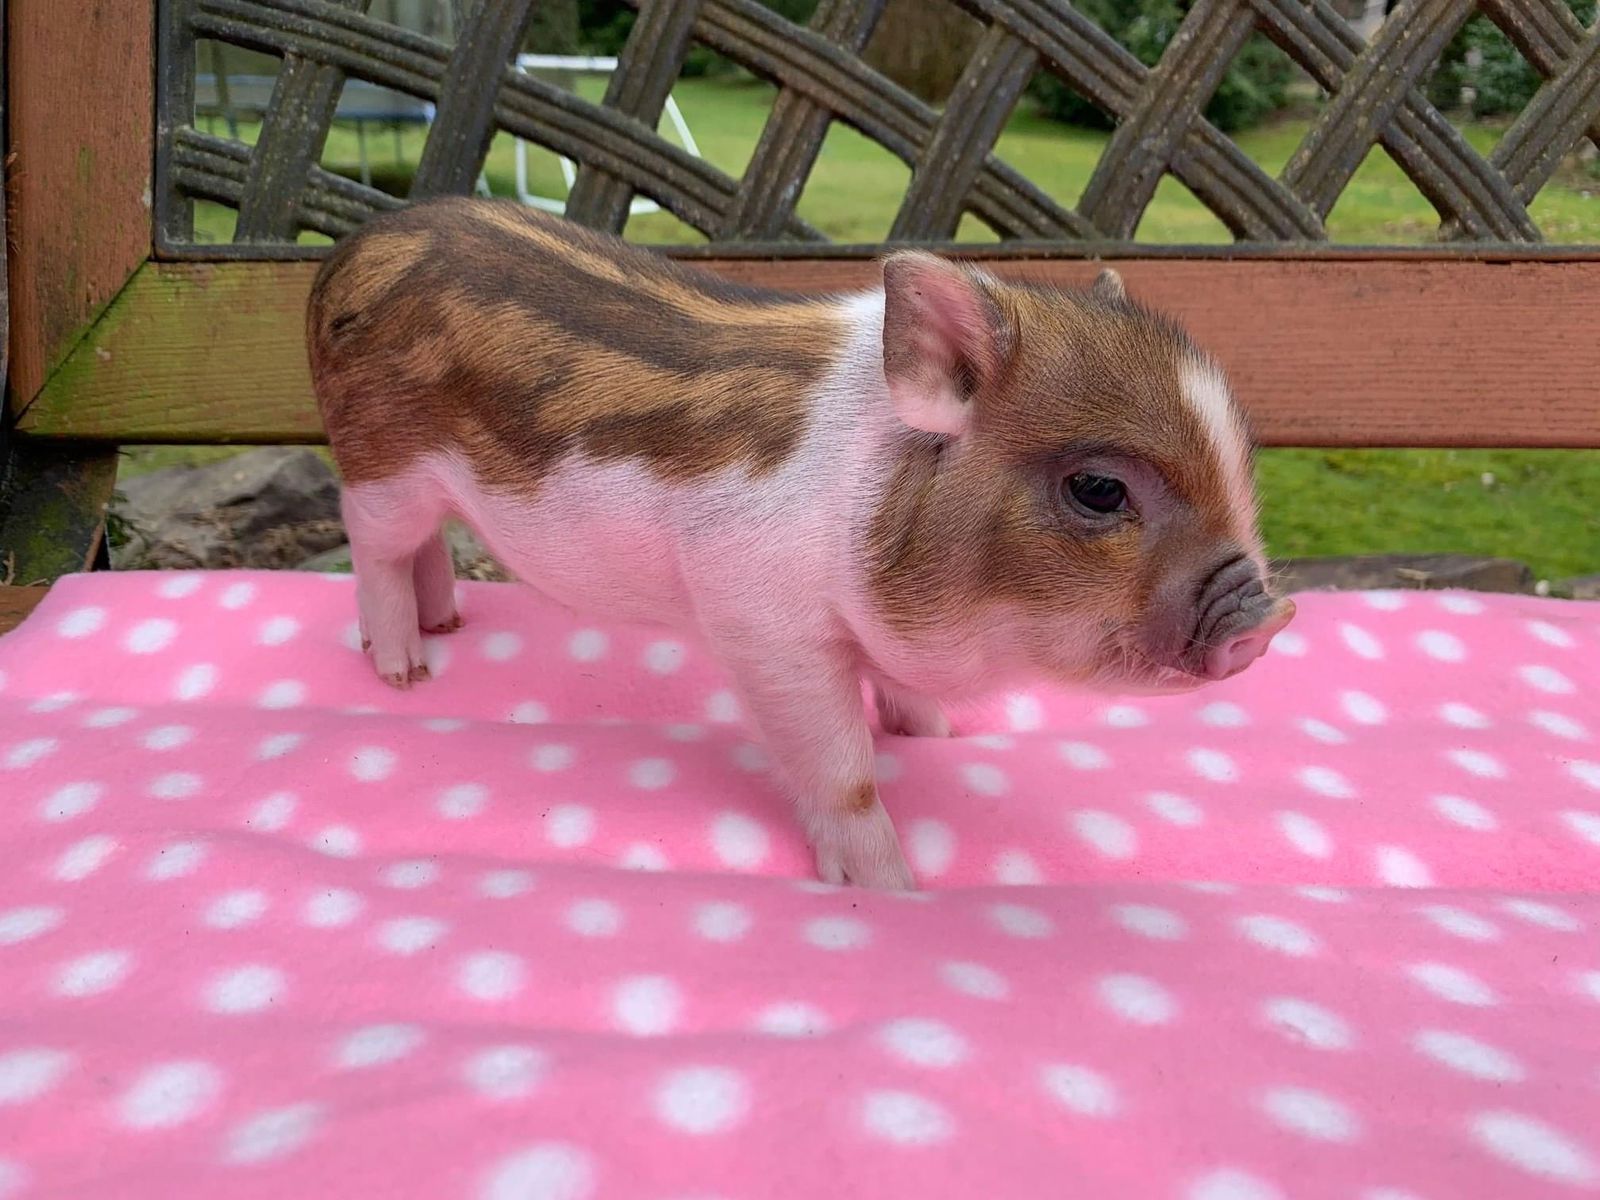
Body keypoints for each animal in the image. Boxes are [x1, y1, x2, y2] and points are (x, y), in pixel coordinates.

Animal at [306, 197, 1294, 889]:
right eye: (1098, 489)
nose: (1268, 615)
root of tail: (349, 254)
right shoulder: (764, 627)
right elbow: (842, 772)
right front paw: (893, 889)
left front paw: (938, 734)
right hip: (381, 467)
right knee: (374, 548)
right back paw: (404, 671)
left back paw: (446, 629)